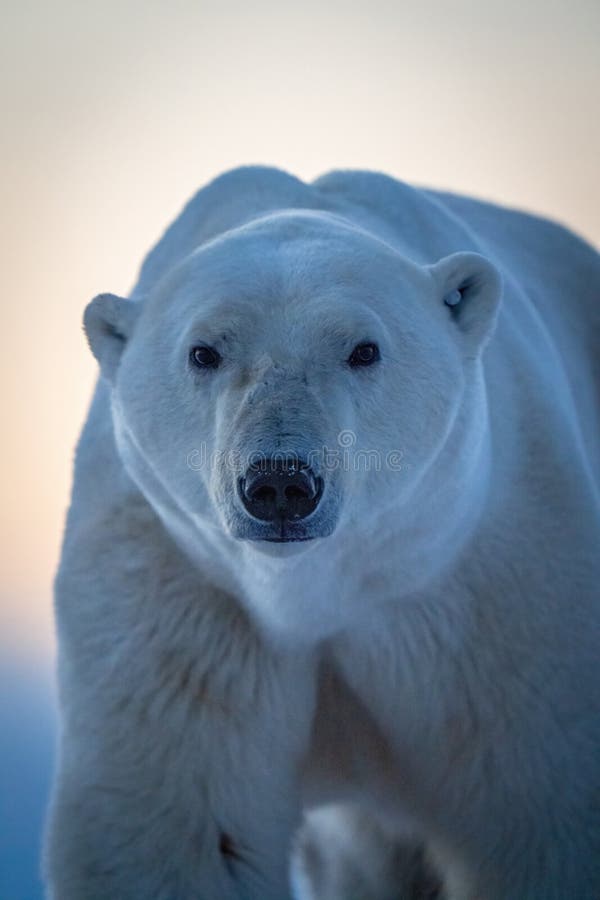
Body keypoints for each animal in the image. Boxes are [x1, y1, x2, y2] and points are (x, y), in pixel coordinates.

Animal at [44, 165, 600, 900]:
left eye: (364, 349)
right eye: (203, 351)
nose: (280, 483)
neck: (318, 590)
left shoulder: (493, 596)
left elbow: (537, 811)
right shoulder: (179, 602)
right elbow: (189, 829)